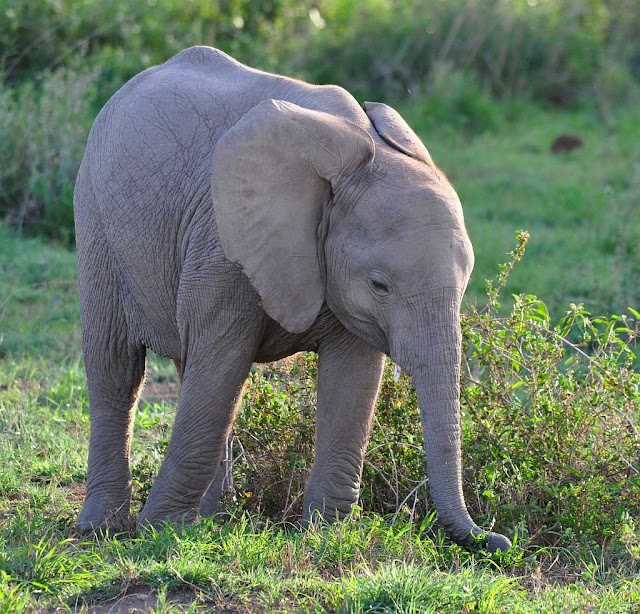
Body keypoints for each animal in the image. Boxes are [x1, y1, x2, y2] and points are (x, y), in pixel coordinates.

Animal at [73, 45, 511, 552]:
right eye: (379, 285)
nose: (499, 540)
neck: (361, 155)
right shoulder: (224, 245)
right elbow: (220, 369)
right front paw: (160, 535)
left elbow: (352, 381)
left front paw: (326, 534)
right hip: (96, 216)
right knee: (119, 368)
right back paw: (101, 529)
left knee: (187, 365)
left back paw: (212, 521)